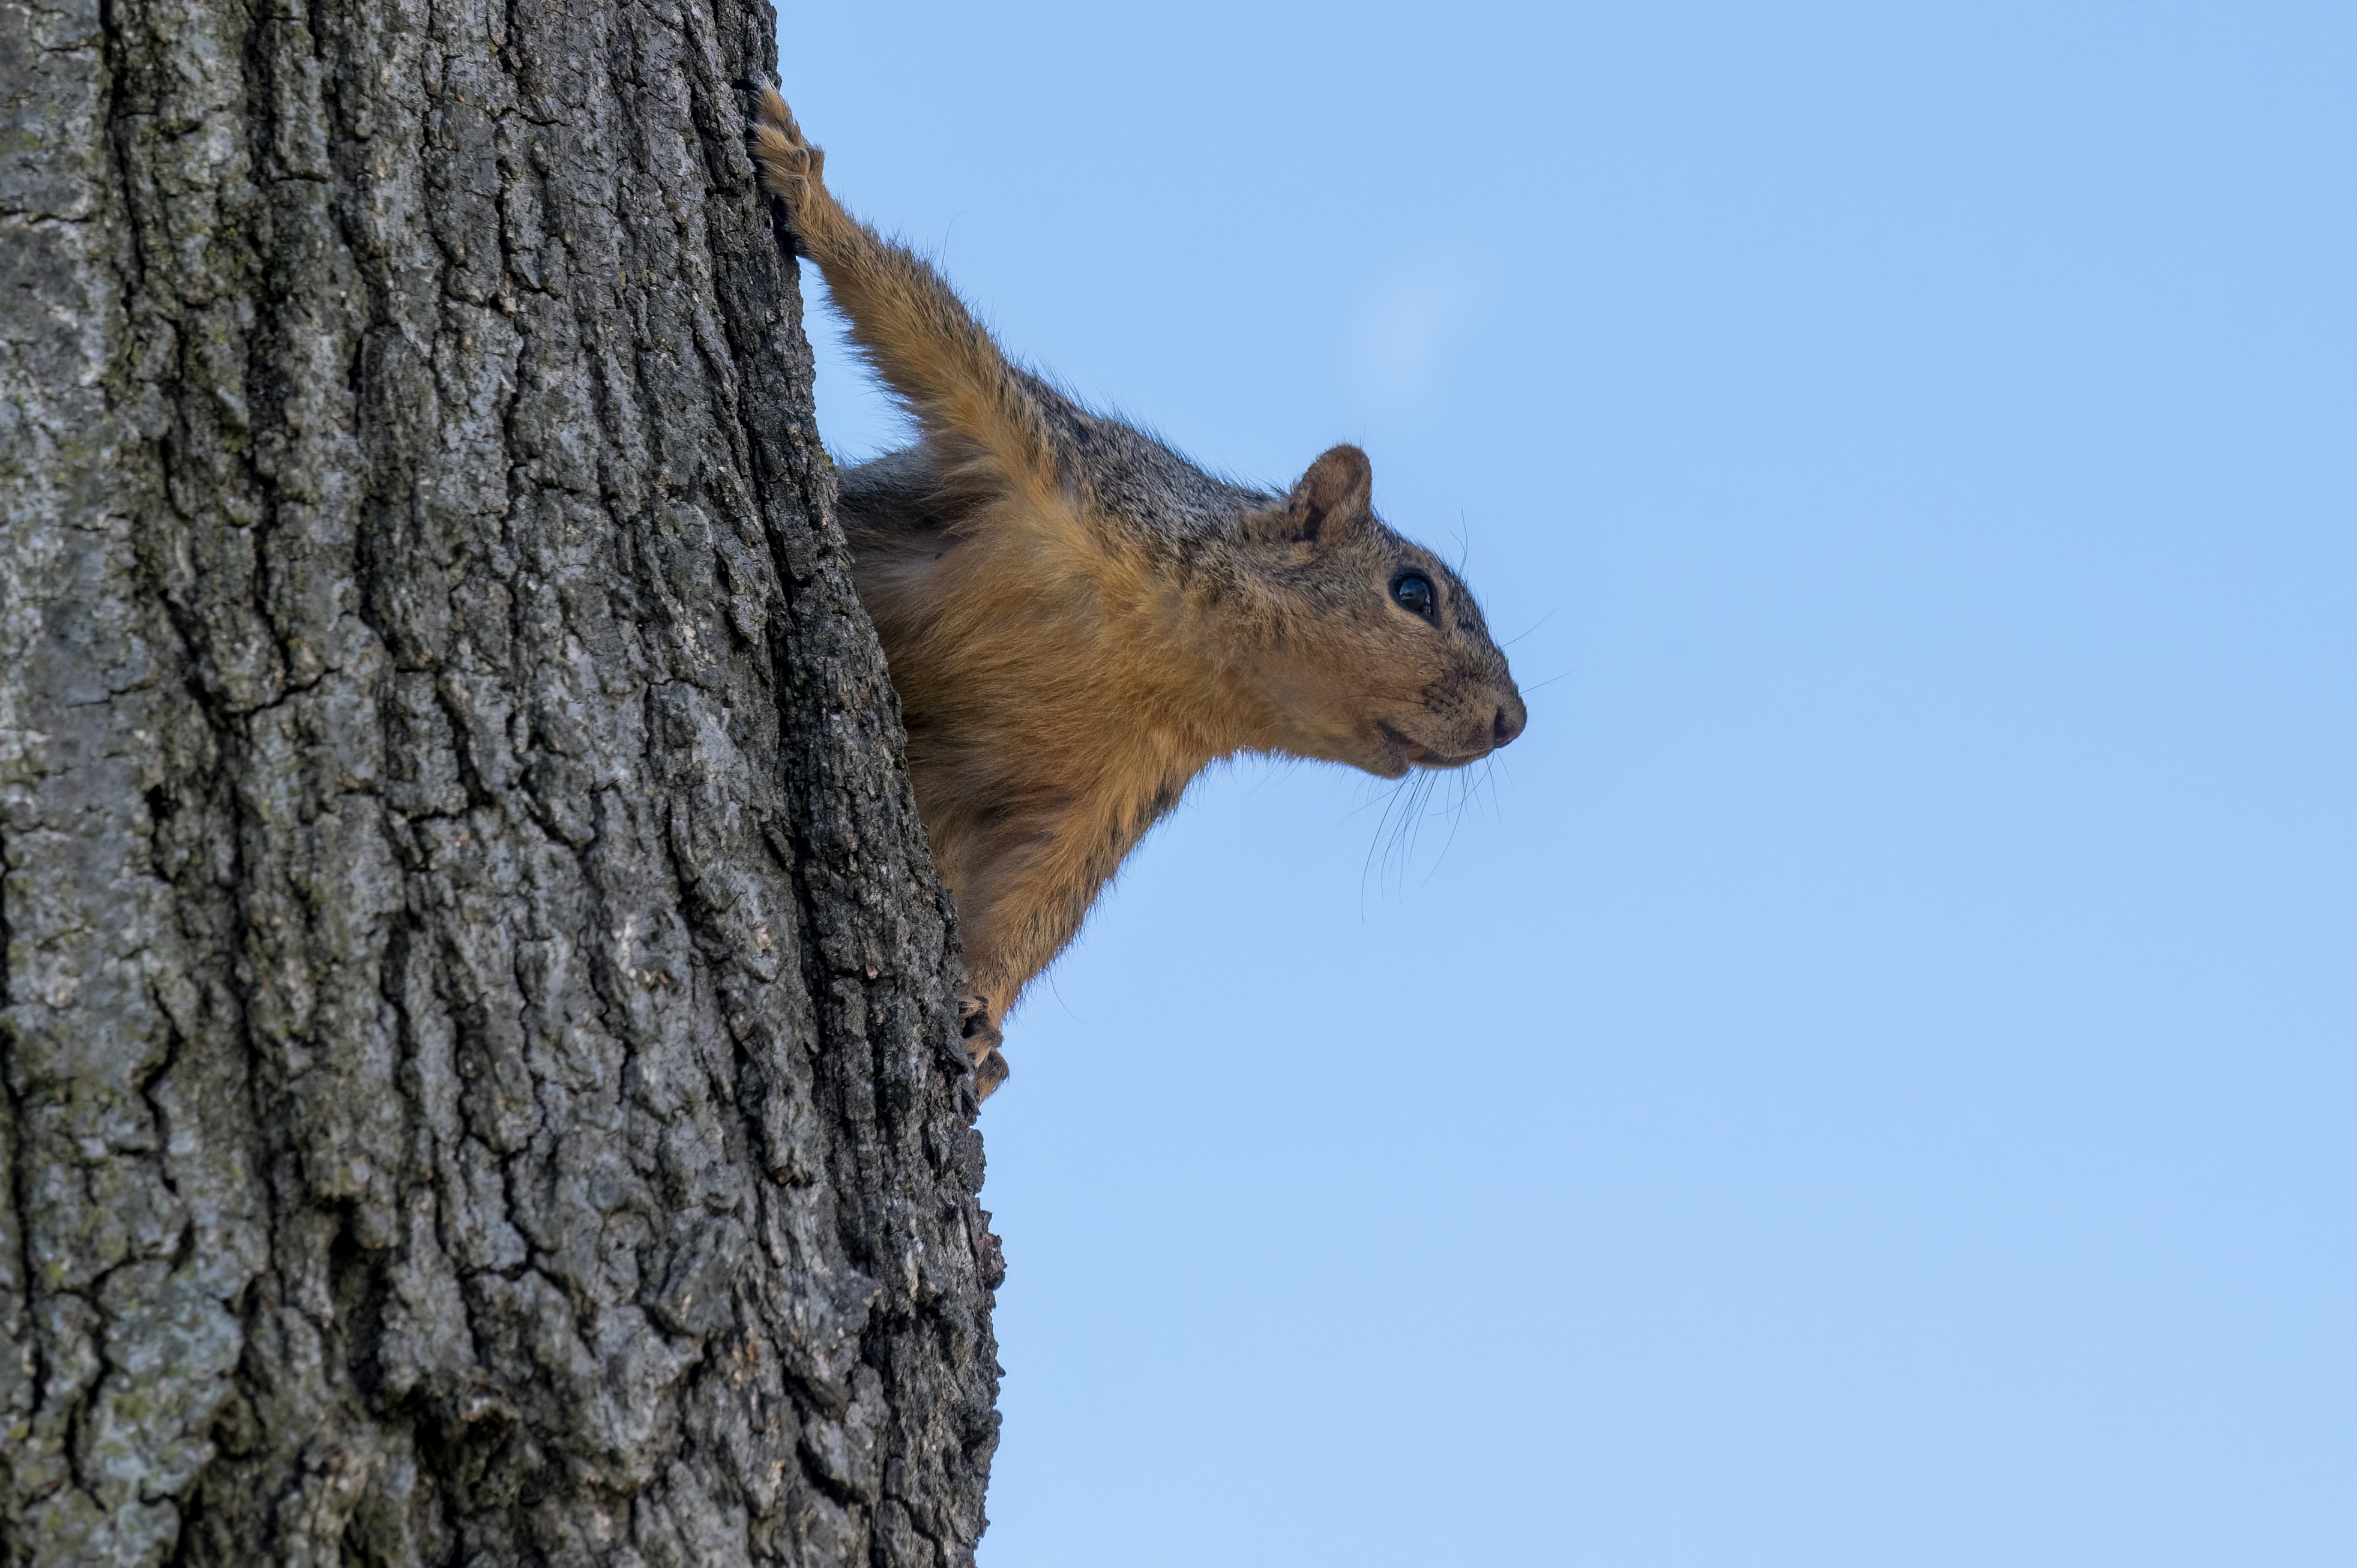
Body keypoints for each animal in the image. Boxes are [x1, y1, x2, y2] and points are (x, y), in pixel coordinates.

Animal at [750, 89, 1526, 1098]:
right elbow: (927, 335)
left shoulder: (1113, 788)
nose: (1512, 720)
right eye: (1411, 591)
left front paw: (980, 1010)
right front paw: (805, 188)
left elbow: (1040, 897)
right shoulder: (1053, 466)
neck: (1164, 652)